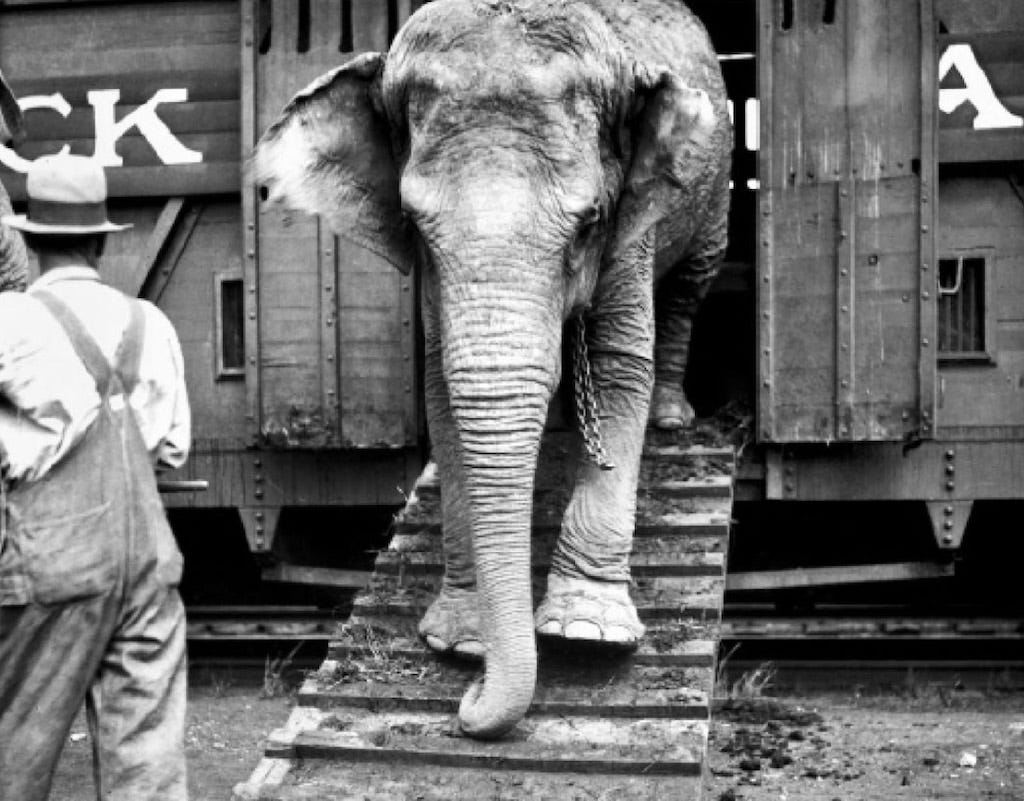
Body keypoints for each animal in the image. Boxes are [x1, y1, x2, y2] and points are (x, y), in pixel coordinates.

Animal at [254, 0, 731, 739]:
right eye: (416, 226)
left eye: (589, 221)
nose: (467, 706)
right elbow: (442, 389)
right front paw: (459, 642)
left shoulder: (630, 216)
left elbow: (621, 366)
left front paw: (585, 636)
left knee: (692, 281)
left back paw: (673, 419)